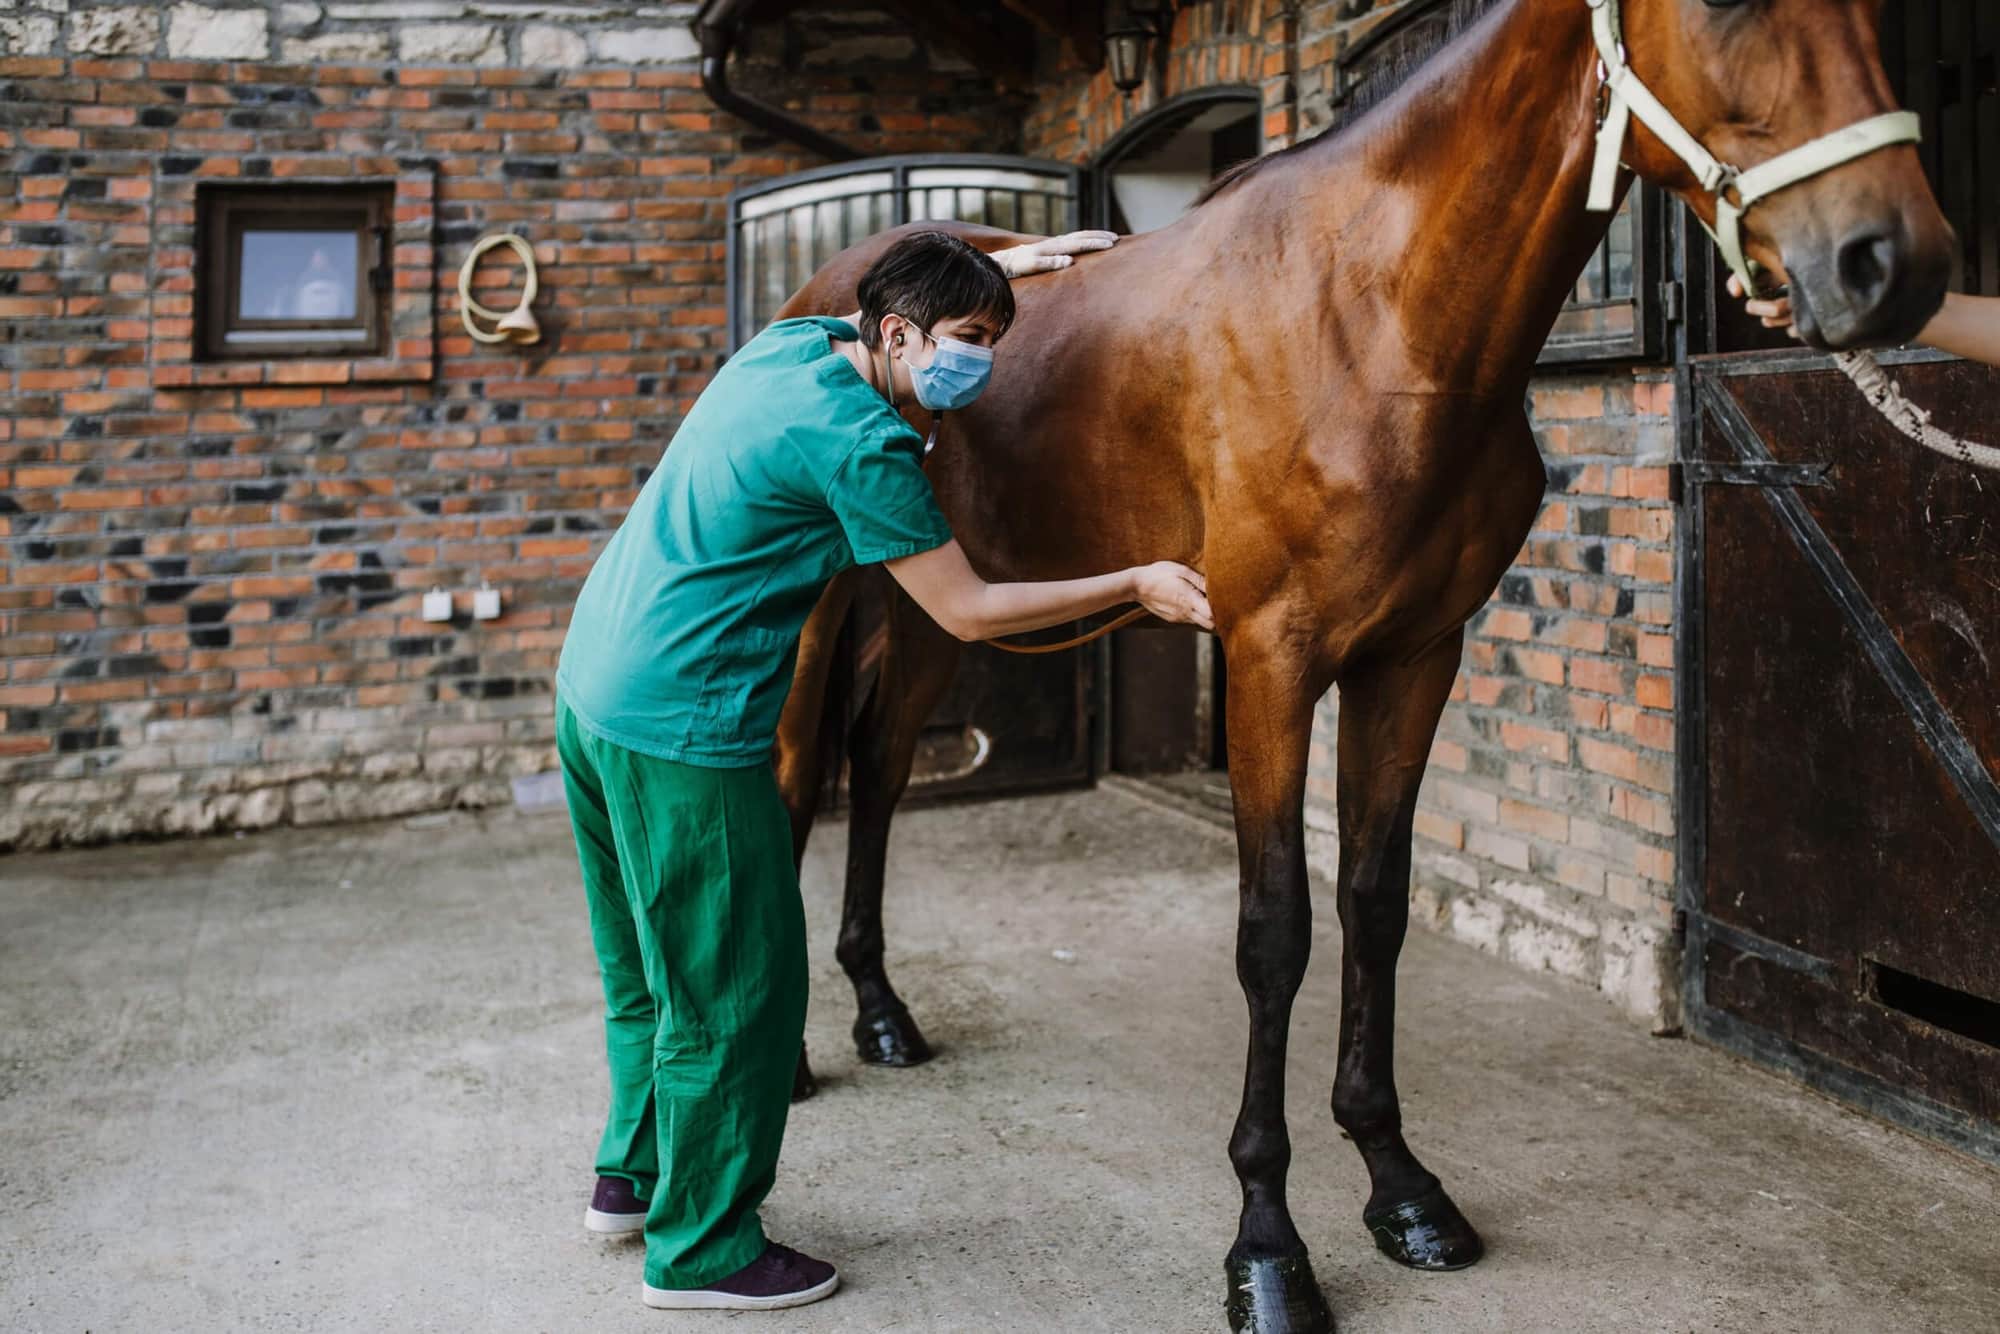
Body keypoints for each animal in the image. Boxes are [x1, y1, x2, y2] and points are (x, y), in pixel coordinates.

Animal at [766, 1, 1954, 1328]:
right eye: (1719, 7)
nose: (1891, 259)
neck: (1371, 318)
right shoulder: (1269, 660)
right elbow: (1273, 931)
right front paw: (1266, 1246)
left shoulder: (1412, 657)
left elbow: (1373, 906)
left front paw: (1399, 1186)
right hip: (812, 608)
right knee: (789, 774)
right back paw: (789, 1055)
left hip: (935, 614)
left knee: (875, 769)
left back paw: (879, 1011)